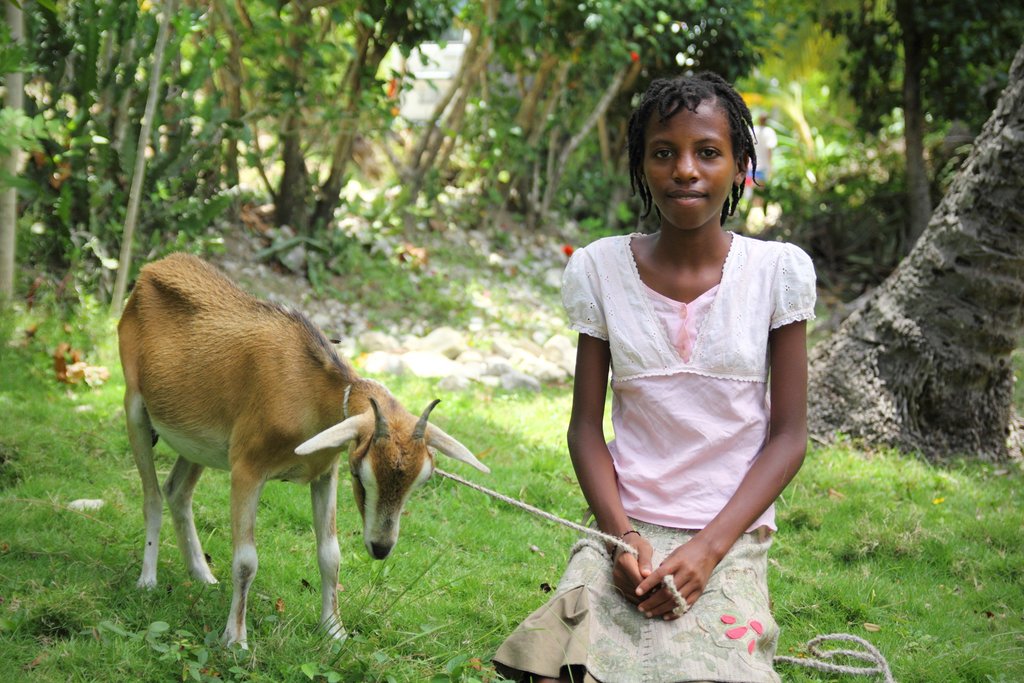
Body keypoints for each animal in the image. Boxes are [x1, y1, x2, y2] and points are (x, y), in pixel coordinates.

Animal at [117, 253, 488, 647]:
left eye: (421, 480)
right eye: (361, 476)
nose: (381, 547)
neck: (308, 390)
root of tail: (152, 269)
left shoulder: (324, 473)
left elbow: (330, 554)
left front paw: (334, 631)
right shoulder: (247, 469)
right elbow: (246, 561)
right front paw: (235, 640)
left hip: (199, 442)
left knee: (177, 492)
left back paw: (202, 575)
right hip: (135, 408)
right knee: (152, 496)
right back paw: (148, 580)